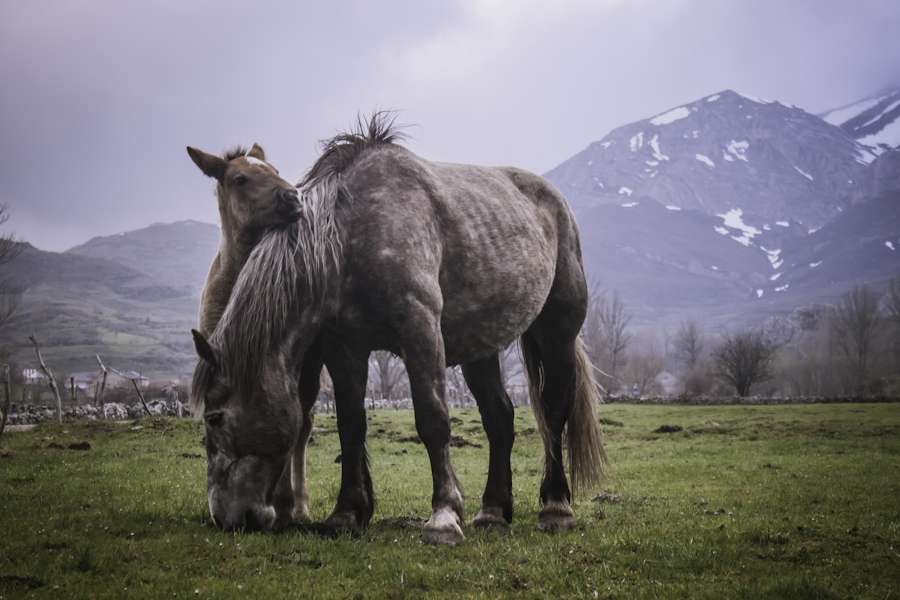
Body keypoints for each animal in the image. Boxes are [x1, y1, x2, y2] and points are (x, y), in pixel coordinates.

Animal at [190, 114, 606, 545]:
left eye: (214, 417)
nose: (225, 516)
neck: (352, 231)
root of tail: (554, 200)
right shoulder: (346, 348)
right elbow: (350, 425)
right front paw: (346, 513)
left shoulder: (419, 329)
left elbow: (432, 419)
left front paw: (444, 516)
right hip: (480, 348)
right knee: (499, 417)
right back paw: (492, 511)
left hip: (557, 333)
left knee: (554, 409)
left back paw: (556, 507)